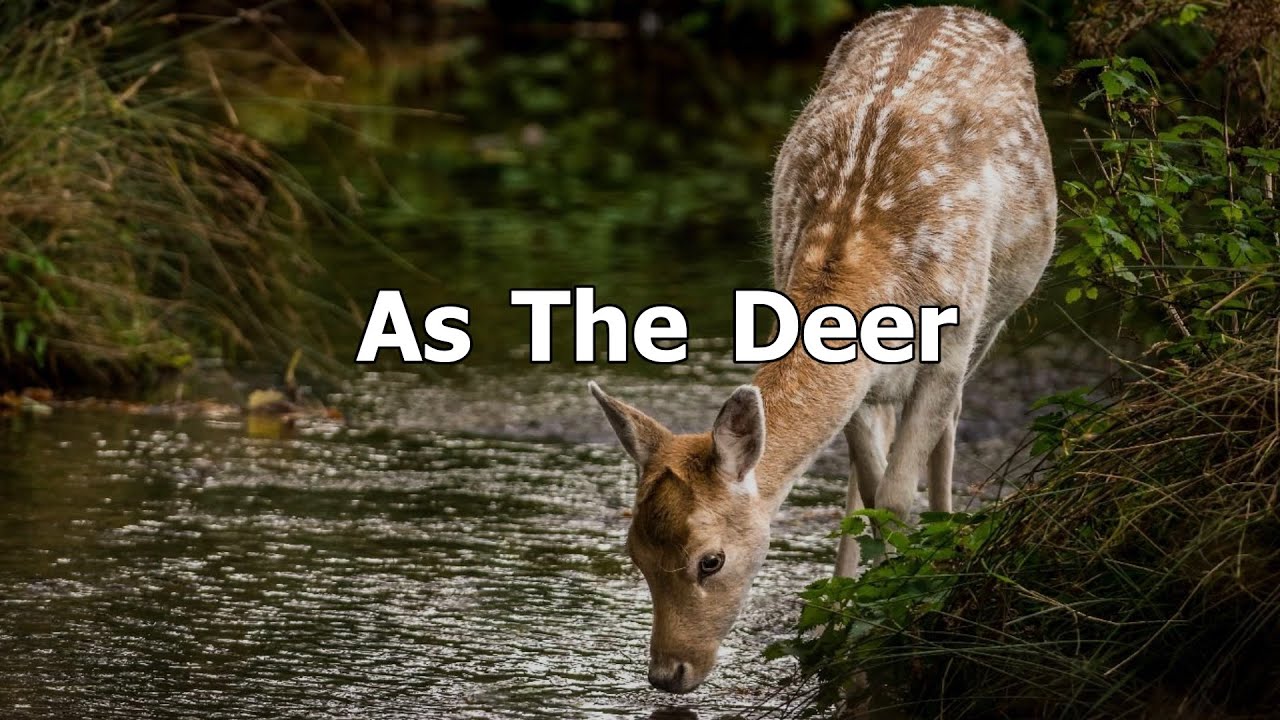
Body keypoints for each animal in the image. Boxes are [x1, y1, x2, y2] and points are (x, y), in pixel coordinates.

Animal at [589, 5, 1056, 694]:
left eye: (710, 560)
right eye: (635, 553)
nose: (669, 673)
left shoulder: (953, 338)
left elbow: (898, 493)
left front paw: (909, 611)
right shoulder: (855, 379)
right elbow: (872, 488)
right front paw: (852, 617)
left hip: (994, 315)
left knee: (951, 425)